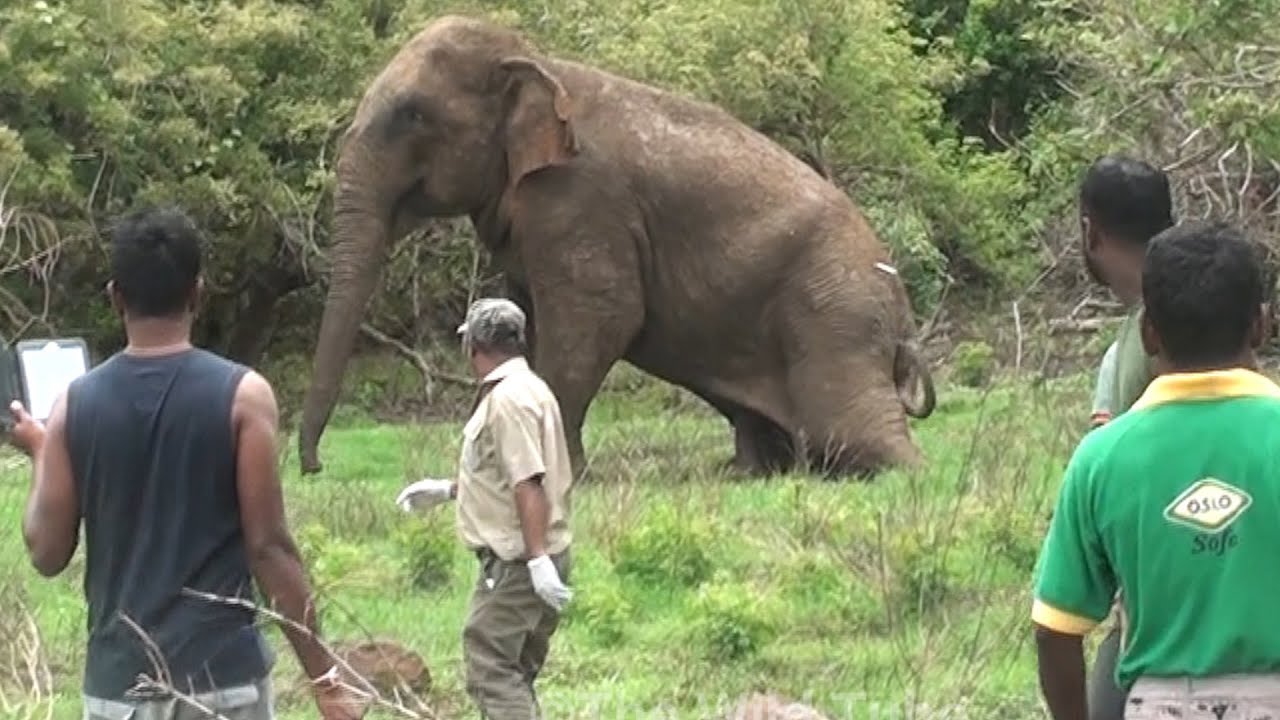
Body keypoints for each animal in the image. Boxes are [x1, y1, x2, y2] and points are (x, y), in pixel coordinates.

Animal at [298, 14, 938, 480]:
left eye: (411, 115)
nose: (314, 468)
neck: (541, 61)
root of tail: (905, 320)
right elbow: (529, 320)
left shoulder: (581, 200)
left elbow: (601, 318)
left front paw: (567, 477)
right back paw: (746, 472)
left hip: (835, 312)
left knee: (850, 430)